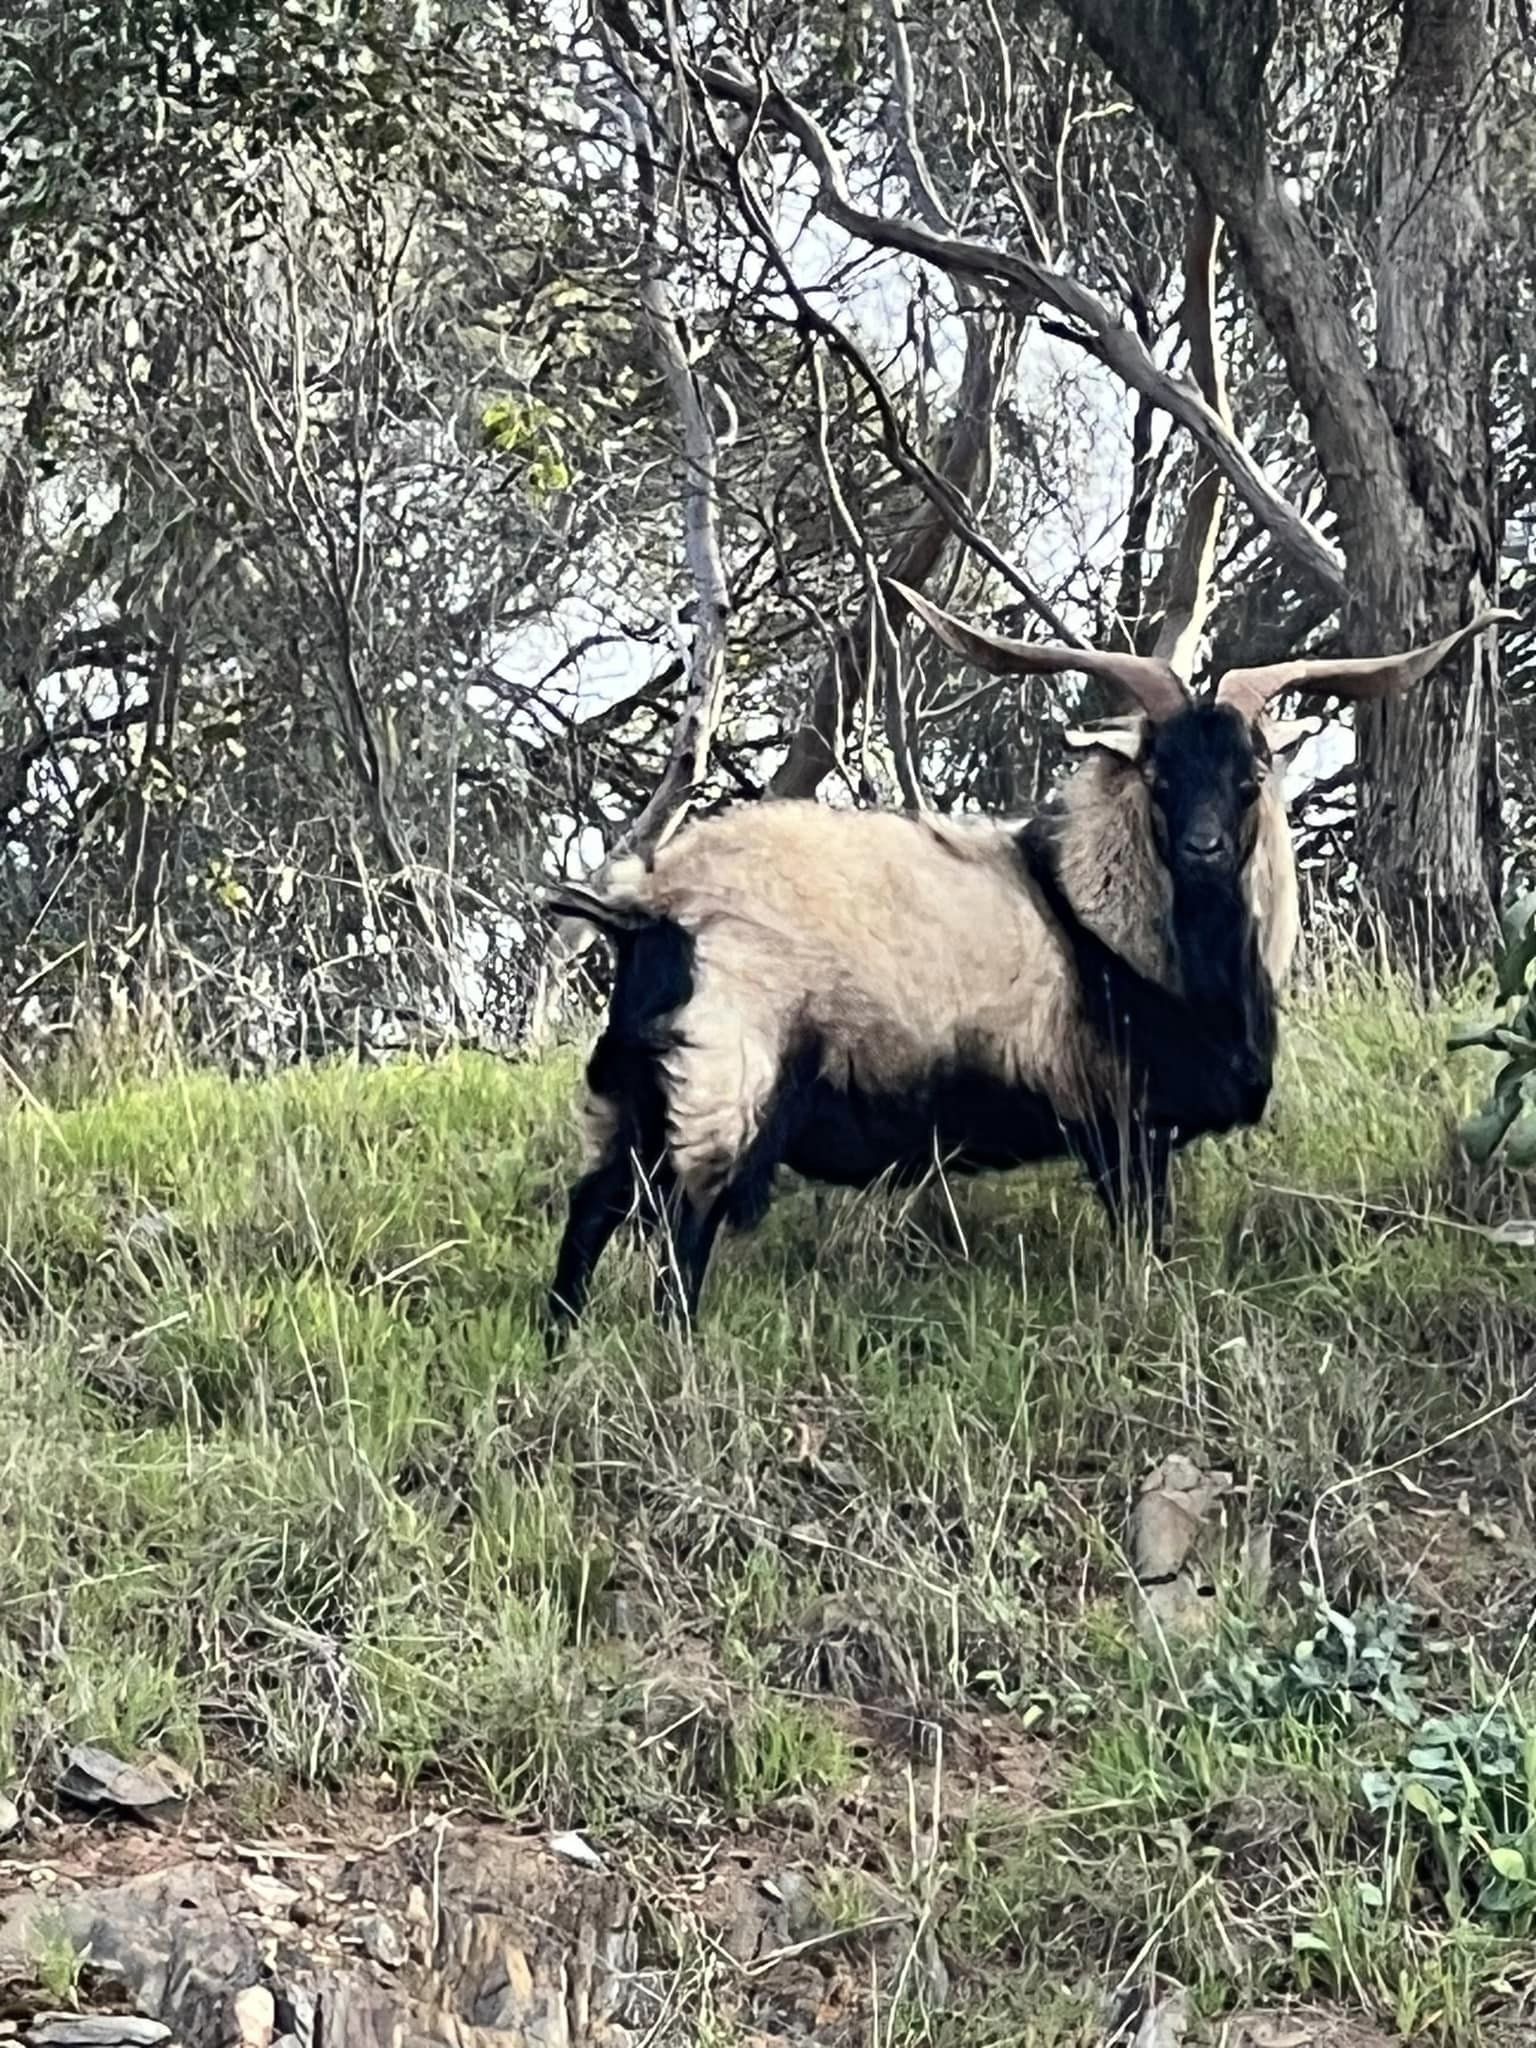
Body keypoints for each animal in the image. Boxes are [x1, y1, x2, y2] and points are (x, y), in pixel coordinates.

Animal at [543, 585, 1513, 1334]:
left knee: (589, 1216)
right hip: (720, 1091)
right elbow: (1144, 1243)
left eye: (1250, 777)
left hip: (627, 1102)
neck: (1096, 915)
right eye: (1160, 775)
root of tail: (651, 904)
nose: (1202, 850)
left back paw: (564, 1349)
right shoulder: (1123, 1125)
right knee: (678, 1241)